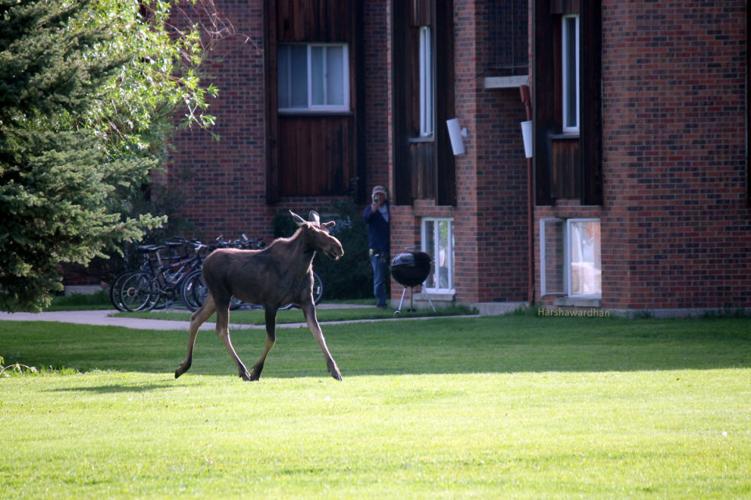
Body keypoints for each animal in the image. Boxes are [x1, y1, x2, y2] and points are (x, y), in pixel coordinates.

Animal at [174, 210, 345, 382]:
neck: (300, 268)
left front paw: (335, 370)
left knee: (196, 318)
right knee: (221, 329)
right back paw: (242, 370)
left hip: (215, 296)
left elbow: (319, 333)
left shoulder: (307, 302)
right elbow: (271, 338)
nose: (338, 247)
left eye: (327, 229)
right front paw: (256, 371)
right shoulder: (270, 303)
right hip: (221, 294)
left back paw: (183, 366)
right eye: (314, 230)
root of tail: (205, 262)